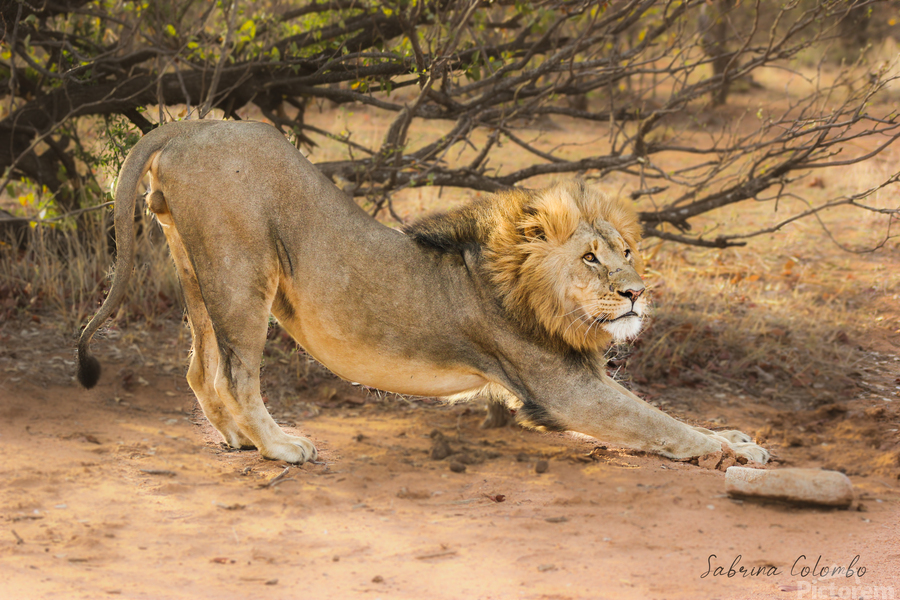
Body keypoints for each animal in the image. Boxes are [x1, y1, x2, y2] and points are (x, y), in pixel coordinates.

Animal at [77, 120, 768, 466]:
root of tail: (184, 128)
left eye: (627, 251)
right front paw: (725, 449)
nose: (636, 294)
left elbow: (665, 415)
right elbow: (658, 422)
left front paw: (737, 437)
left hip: (197, 272)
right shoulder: (562, 391)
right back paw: (279, 447)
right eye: (591, 258)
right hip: (243, 271)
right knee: (237, 373)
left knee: (199, 369)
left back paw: (240, 440)